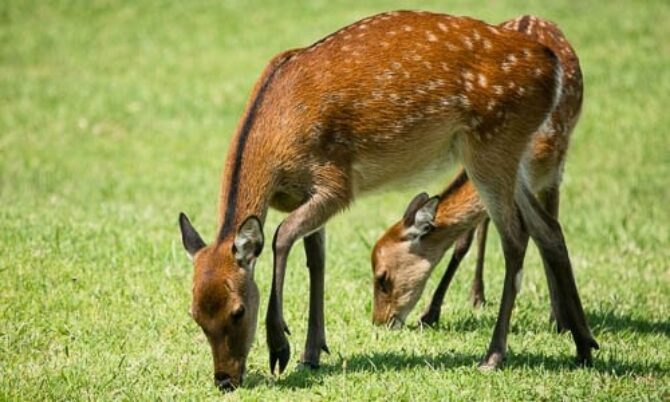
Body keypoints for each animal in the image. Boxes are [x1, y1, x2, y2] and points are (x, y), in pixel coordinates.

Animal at [371, 15, 584, 331]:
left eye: (383, 278)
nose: (378, 321)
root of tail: (532, 16)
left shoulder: (554, 174)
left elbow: (546, 236)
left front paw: (559, 318)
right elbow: (464, 241)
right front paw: (430, 313)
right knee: (480, 228)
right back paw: (477, 295)